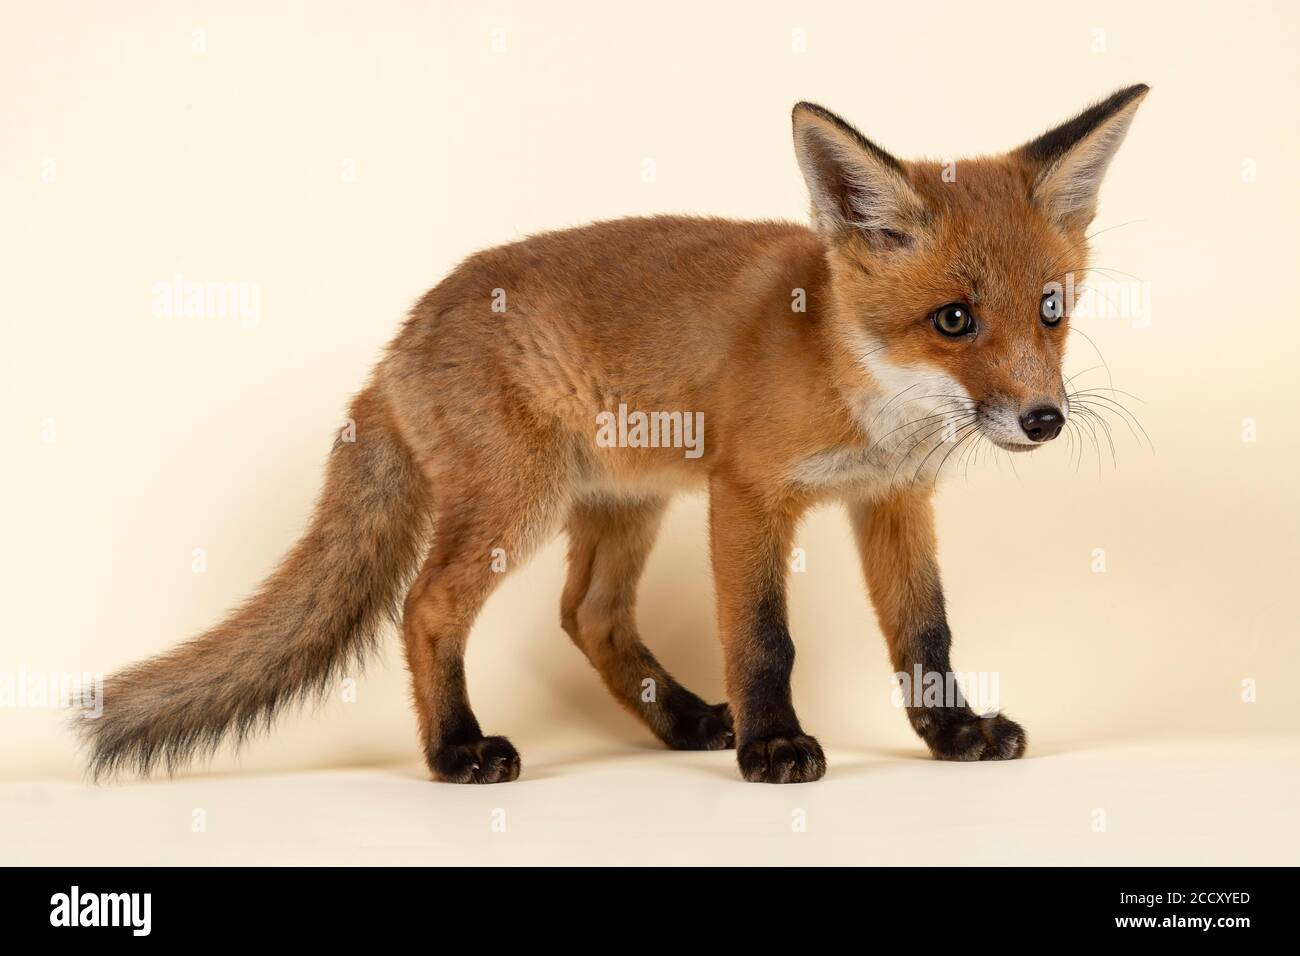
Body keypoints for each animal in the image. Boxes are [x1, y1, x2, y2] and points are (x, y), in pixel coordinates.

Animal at [79, 85, 1149, 784]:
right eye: (954, 320)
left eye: (1051, 309)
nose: (1045, 419)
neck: (860, 386)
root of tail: (399, 343)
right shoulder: (747, 494)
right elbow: (763, 637)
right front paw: (772, 745)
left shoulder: (892, 499)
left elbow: (925, 634)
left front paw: (952, 737)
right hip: (520, 501)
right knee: (427, 607)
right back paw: (456, 749)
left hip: (622, 503)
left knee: (589, 616)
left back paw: (680, 722)